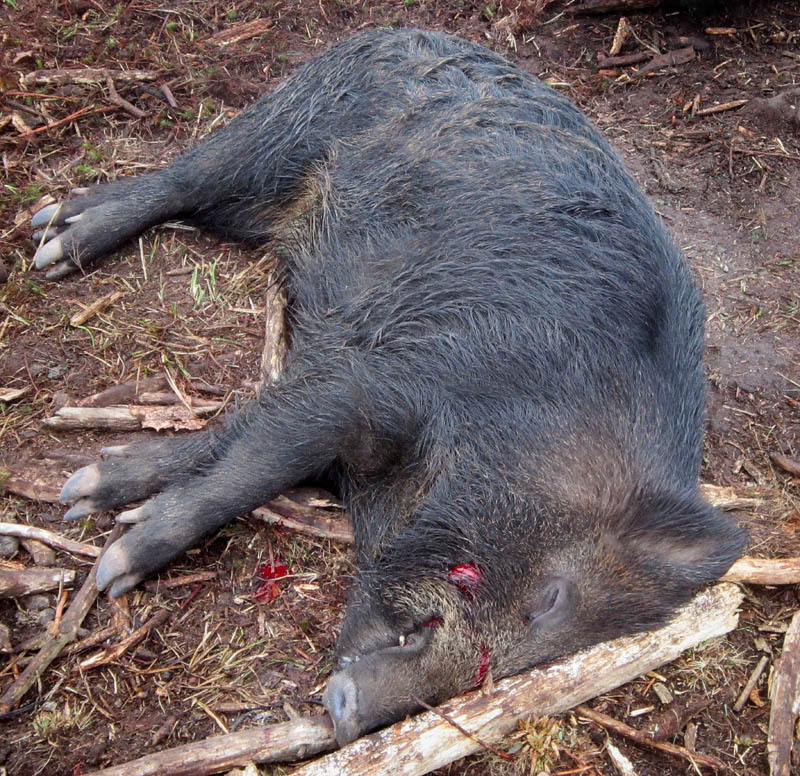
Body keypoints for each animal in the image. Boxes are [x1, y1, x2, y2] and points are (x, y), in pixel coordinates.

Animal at [31, 28, 746, 745]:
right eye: (551, 600)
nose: (346, 710)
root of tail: (405, 32)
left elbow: (237, 437)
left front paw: (88, 490)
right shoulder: (374, 380)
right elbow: (252, 469)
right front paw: (105, 551)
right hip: (283, 130)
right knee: (183, 175)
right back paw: (49, 245)